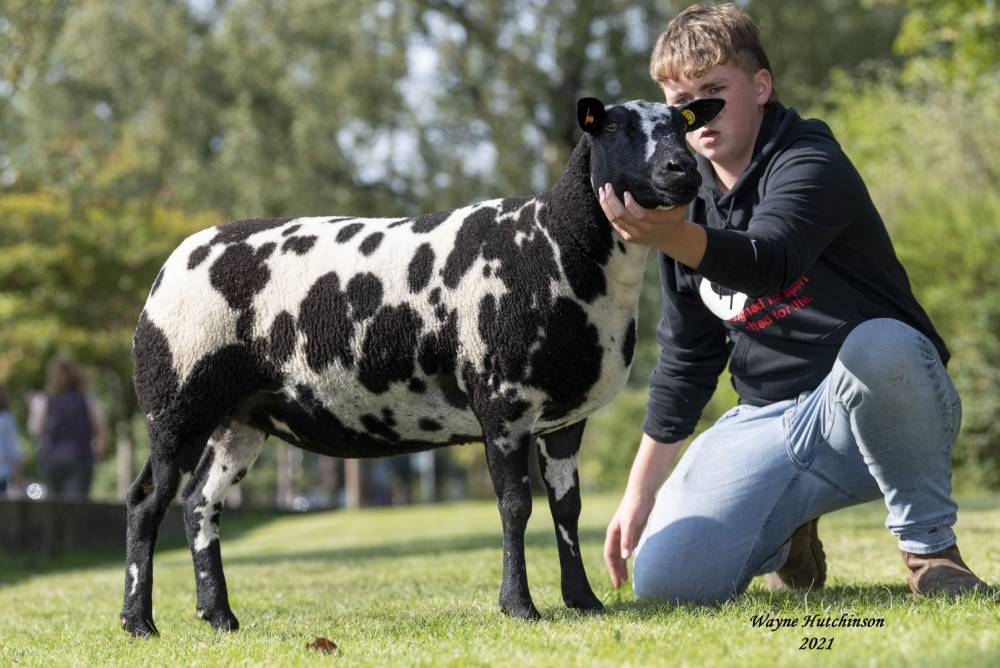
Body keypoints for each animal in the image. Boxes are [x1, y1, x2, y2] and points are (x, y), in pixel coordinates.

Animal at [119, 95, 725, 636]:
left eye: (682, 125)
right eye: (615, 127)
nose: (683, 170)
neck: (557, 244)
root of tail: (172, 264)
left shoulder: (564, 420)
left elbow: (567, 509)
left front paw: (584, 601)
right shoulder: (502, 405)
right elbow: (515, 507)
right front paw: (519, 606)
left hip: (241, 417)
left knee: (201, 503)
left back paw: (219, 616)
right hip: (176, 401)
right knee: (147, 501)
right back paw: (138, 622)